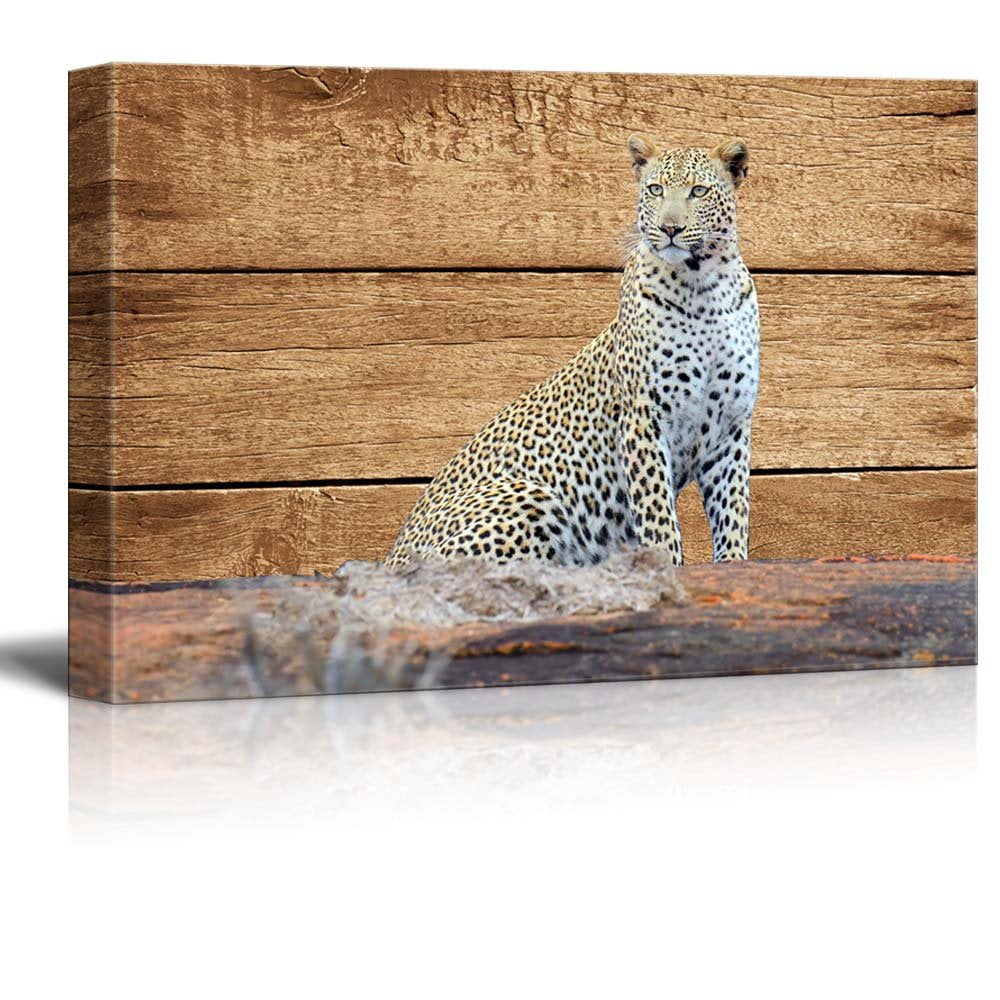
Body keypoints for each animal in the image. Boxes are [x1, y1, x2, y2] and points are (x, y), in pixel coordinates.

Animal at [385, 135, 760, 570]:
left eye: (698, 191)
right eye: (655, 190)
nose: (669, 228)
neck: (704, 289)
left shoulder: (731, 425)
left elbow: (733, 509)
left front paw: (734, 566)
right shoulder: (643, 419)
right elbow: (658, 515)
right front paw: (667, 569)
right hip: (528, 495)